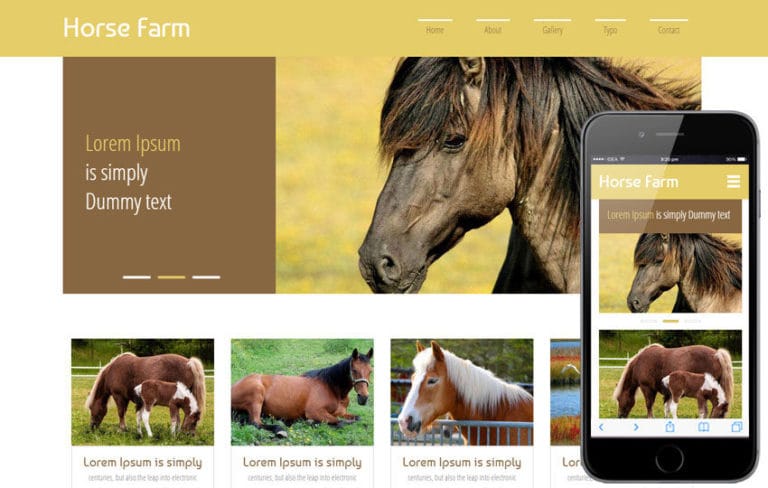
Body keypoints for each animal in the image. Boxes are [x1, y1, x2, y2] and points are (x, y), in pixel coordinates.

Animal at [231, 348, 372, 438]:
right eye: (354, 370)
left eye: (370, 371)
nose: (363, 397)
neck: (331, 387)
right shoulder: (315, 411)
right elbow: (340, 422)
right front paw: (311, 422)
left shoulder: (341, 412)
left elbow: (356, 418)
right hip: (256, 394)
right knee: (255, 422)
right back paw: (280, 430)